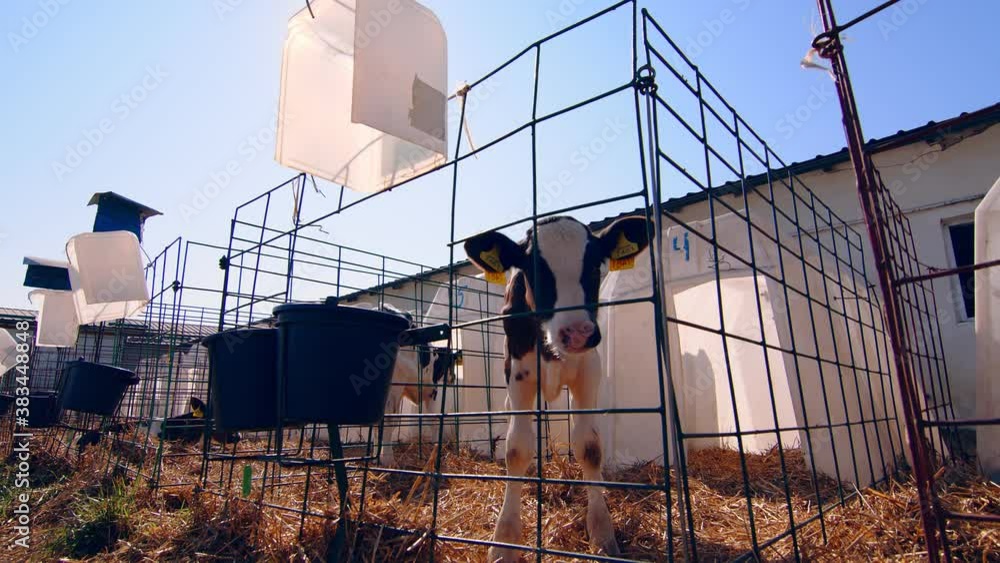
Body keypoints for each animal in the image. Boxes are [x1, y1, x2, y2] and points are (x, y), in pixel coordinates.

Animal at [464, 215, 651, 561]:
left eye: (594, 266)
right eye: (534, 269)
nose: (576, 332)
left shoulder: (589, 370)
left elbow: (589, 447)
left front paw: (602, 533)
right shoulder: (517, 373)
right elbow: (516, 448)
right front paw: (504, 540)